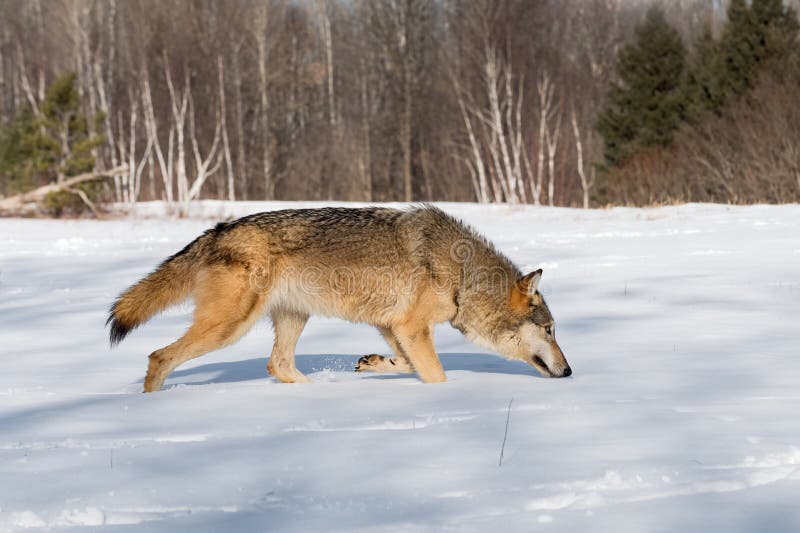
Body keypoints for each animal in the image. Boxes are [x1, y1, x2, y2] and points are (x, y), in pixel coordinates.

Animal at [108, 206, 571, 392]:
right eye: (549, 330)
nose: (568, 372)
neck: (462, 274)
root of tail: (217, 229)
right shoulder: (411, 326)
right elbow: (436, 374)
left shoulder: (394, 325)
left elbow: (406, 362)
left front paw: (374, 364)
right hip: (228, 329)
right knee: (159, 356)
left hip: (293, 318)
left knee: (277, 365)